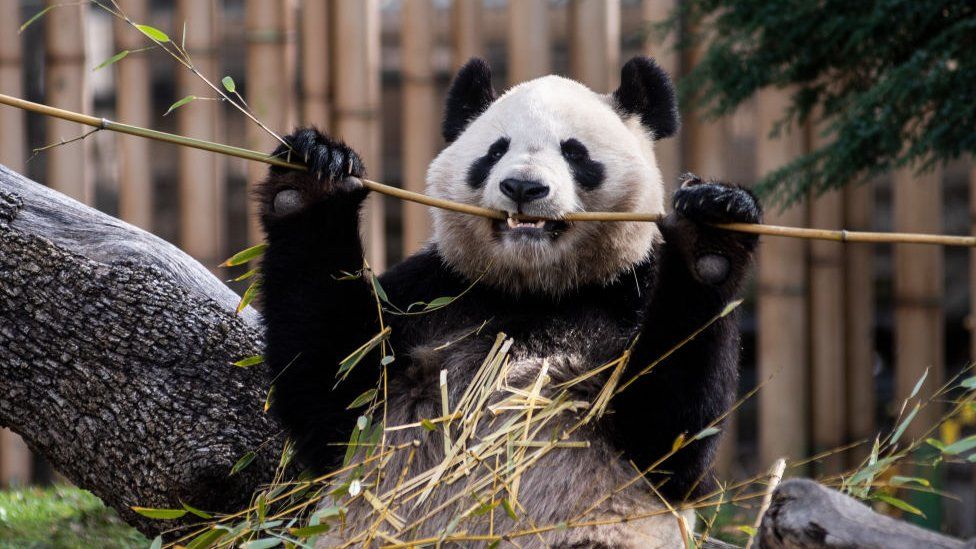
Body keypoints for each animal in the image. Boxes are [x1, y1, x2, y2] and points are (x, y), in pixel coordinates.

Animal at [256, 57, 761, 548]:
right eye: (495, 151)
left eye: (575, 153)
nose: (522, 187)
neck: (536, 289)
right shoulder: (430, 295)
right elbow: (329, 389)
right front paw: (312, 175)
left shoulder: (628, 293)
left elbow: (672, 439)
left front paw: (710, 231)